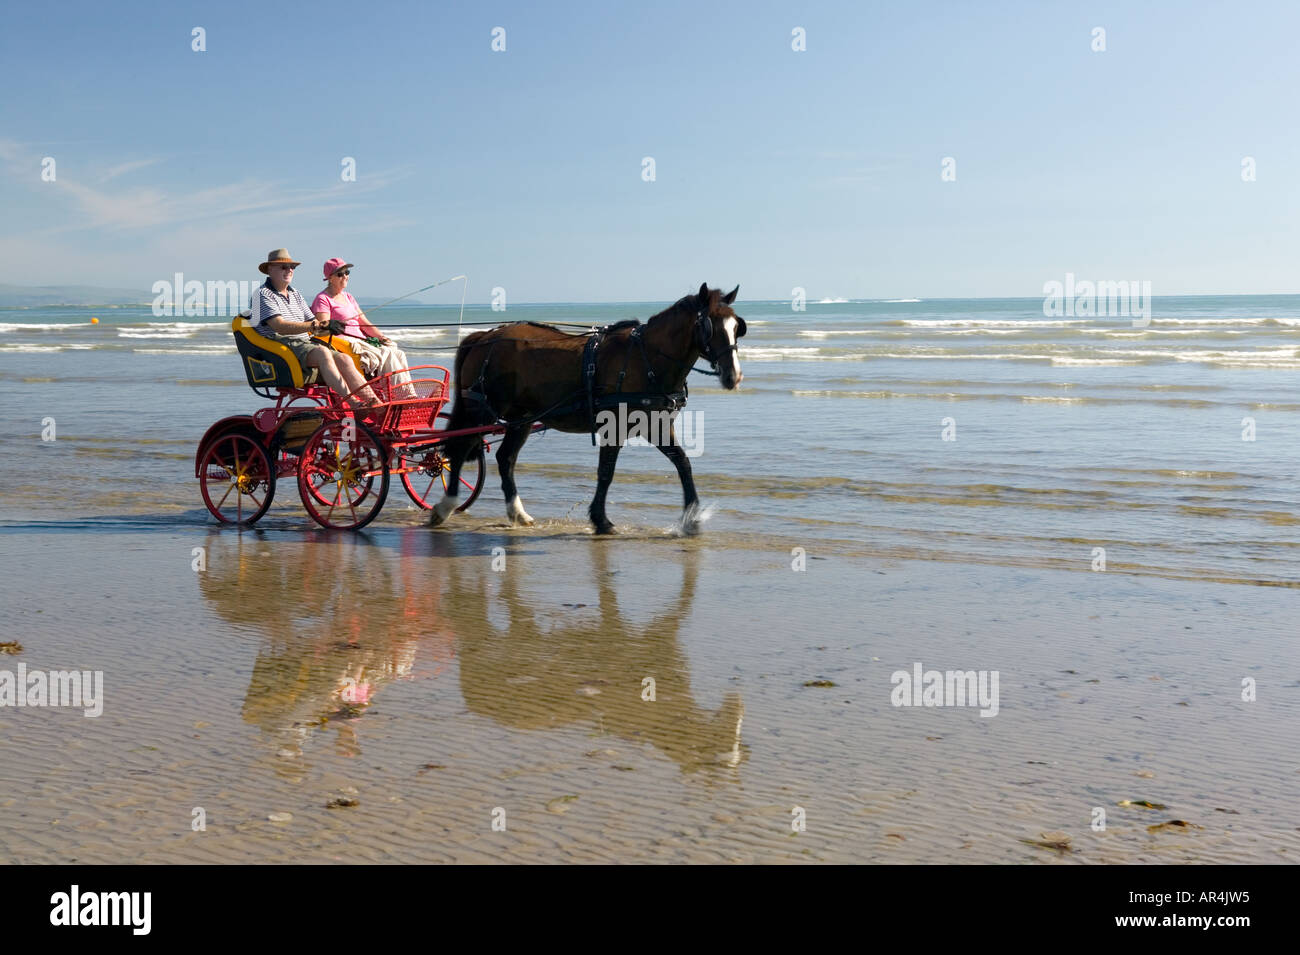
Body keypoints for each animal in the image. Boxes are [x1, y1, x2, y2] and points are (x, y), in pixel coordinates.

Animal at [429, 282, 746, 534]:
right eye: (710, 327)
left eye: (736, 327)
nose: (734, 376)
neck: (645, 358)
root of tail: (485, 337)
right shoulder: (613, 426)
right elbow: (606, 471)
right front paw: (600, 519)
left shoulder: (655, 425)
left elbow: (683, 464)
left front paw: (692, 517)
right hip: (481, 410)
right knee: (459, 451)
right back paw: (445, 506)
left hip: (522, 418)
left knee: (505, 459)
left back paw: (517, 513)